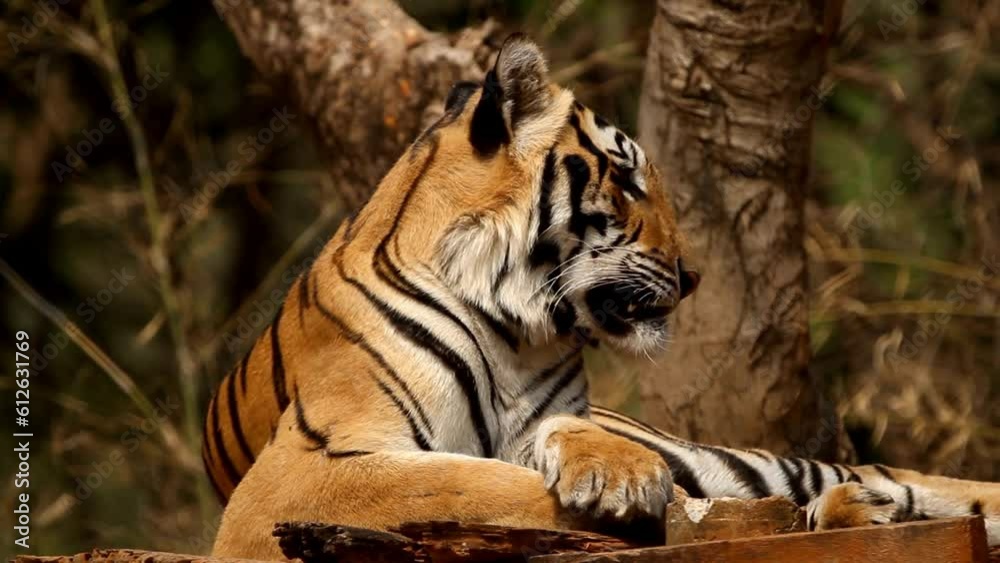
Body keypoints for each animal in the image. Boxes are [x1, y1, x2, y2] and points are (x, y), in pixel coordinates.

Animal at [203, 34, 1000, 560]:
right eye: (627, 178)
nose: (694, 274)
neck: (513, 328)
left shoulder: (557, 413)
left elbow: (554, 446)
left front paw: (615, 473)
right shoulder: (298, 474)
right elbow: (468, 484)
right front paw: (630, 496)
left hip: (721, 454)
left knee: (865, 473)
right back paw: (849, 514)